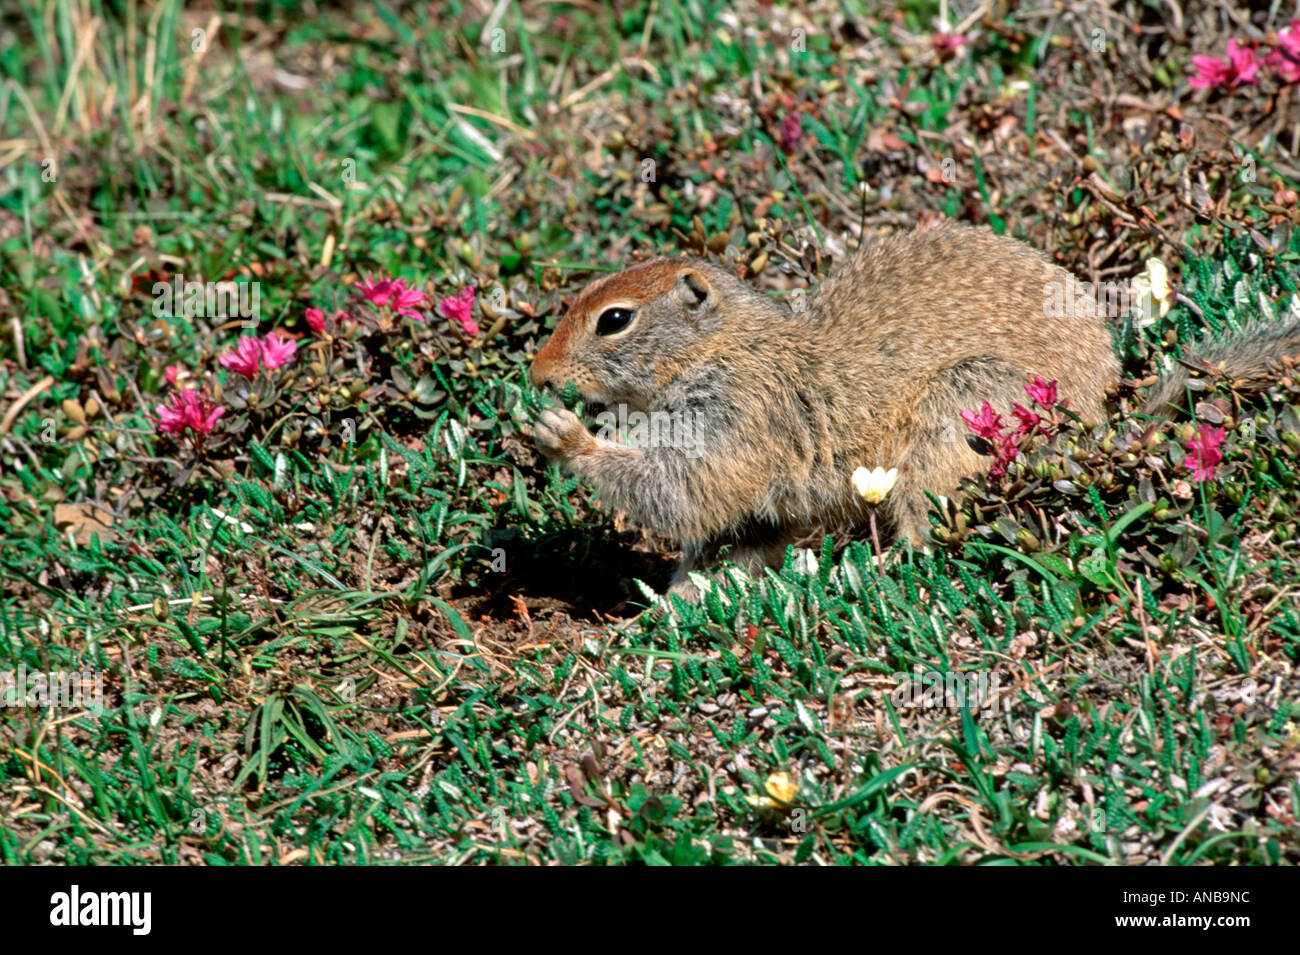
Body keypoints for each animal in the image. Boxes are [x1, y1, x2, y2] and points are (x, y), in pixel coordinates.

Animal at [530, 219, 1300, 598]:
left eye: (615, 319)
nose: (537, 374)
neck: (720, 347)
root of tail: (1106, 429)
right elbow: (729, 538)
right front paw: (677, 603)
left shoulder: (732, 421)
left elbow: (682, 490)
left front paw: (566, 437)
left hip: (960, 419)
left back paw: (873, 569)